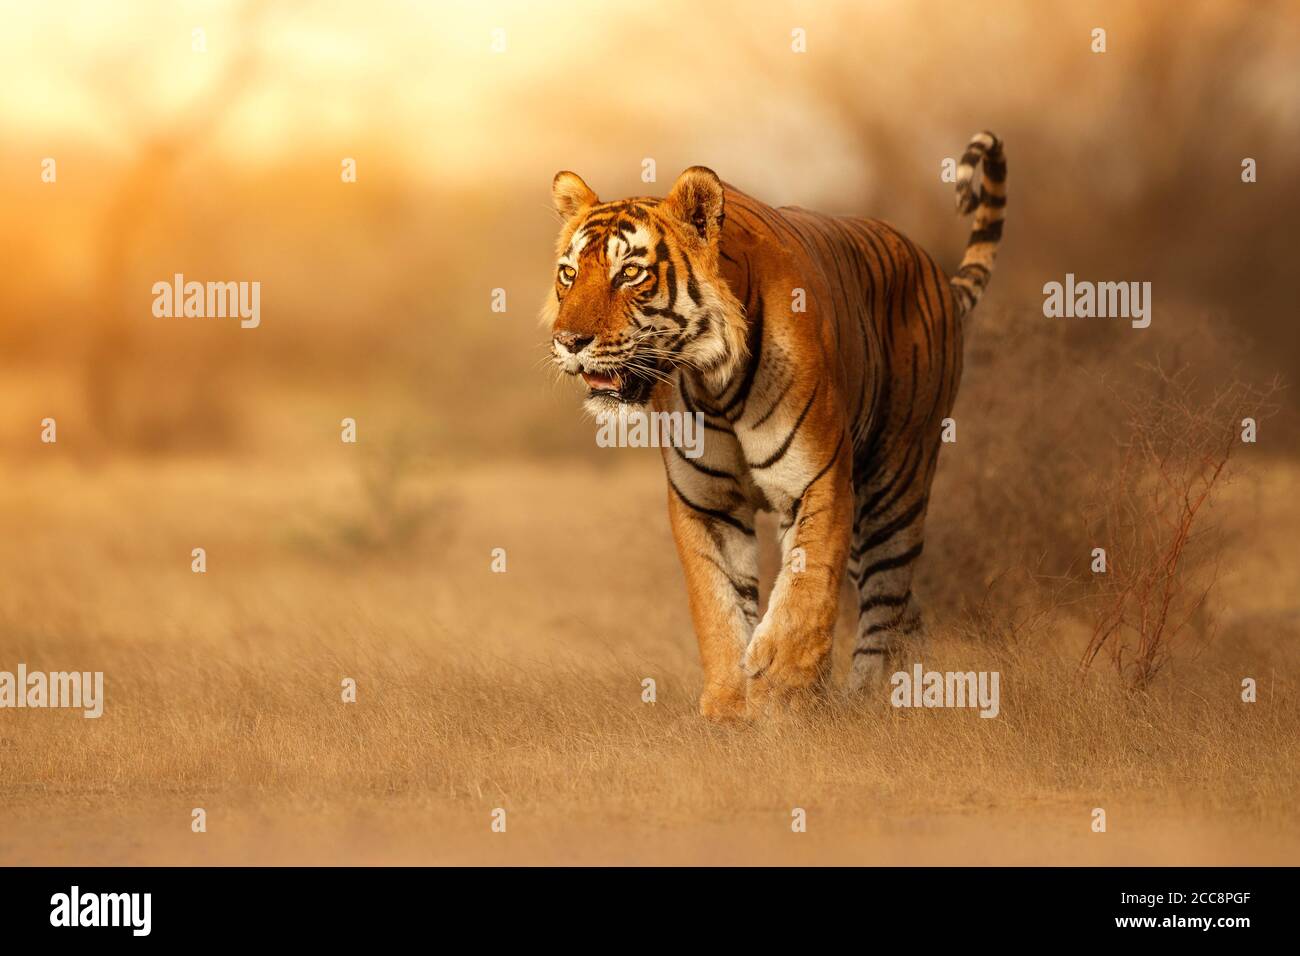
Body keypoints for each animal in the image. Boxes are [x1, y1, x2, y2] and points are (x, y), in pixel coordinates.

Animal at [543, 131, 1006, 720]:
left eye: (630, 273)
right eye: (569, 274)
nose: (568, 341)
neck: (714, 380)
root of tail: (935, 273)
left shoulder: (817, 481)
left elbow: (805, 593)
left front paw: (782, 693)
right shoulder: (706, 503)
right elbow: (717, 605)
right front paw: (728, 706)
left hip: (894, 484)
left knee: (886, 599)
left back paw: (869, 699)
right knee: (906, 607)